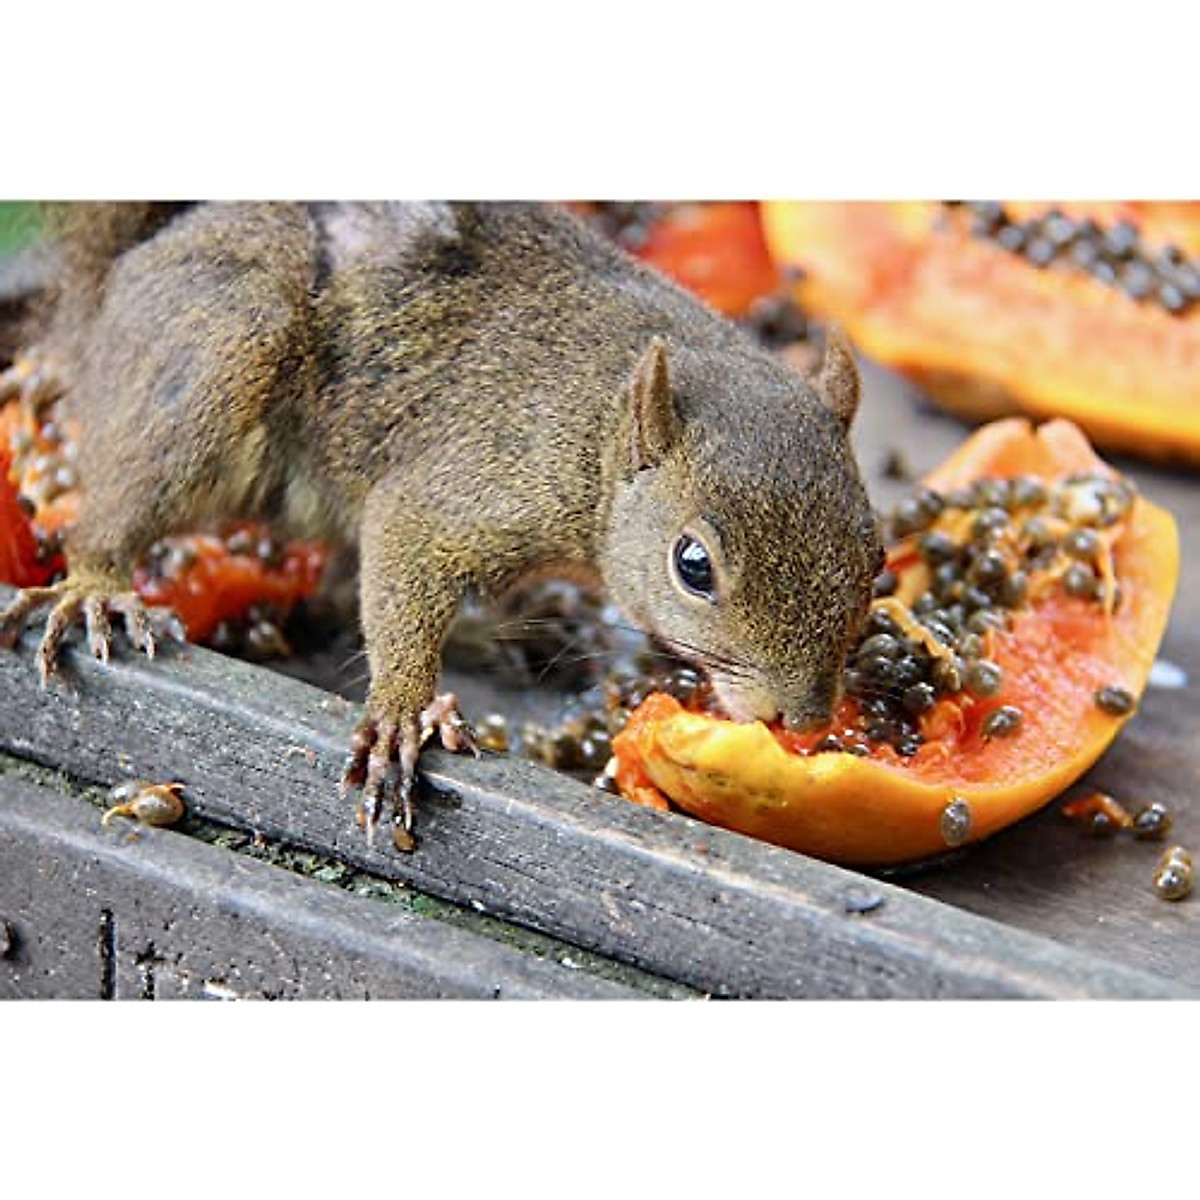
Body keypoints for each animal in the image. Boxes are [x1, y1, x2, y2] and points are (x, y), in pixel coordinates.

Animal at [0, 201, 884, 851]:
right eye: (692, 564)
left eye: (874, 555)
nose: (803, 721)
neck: (599, 422)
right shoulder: (463, 484)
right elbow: (404, 557)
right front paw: (399, 714)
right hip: (222, 349)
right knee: (127, 498)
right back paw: (94, 588)